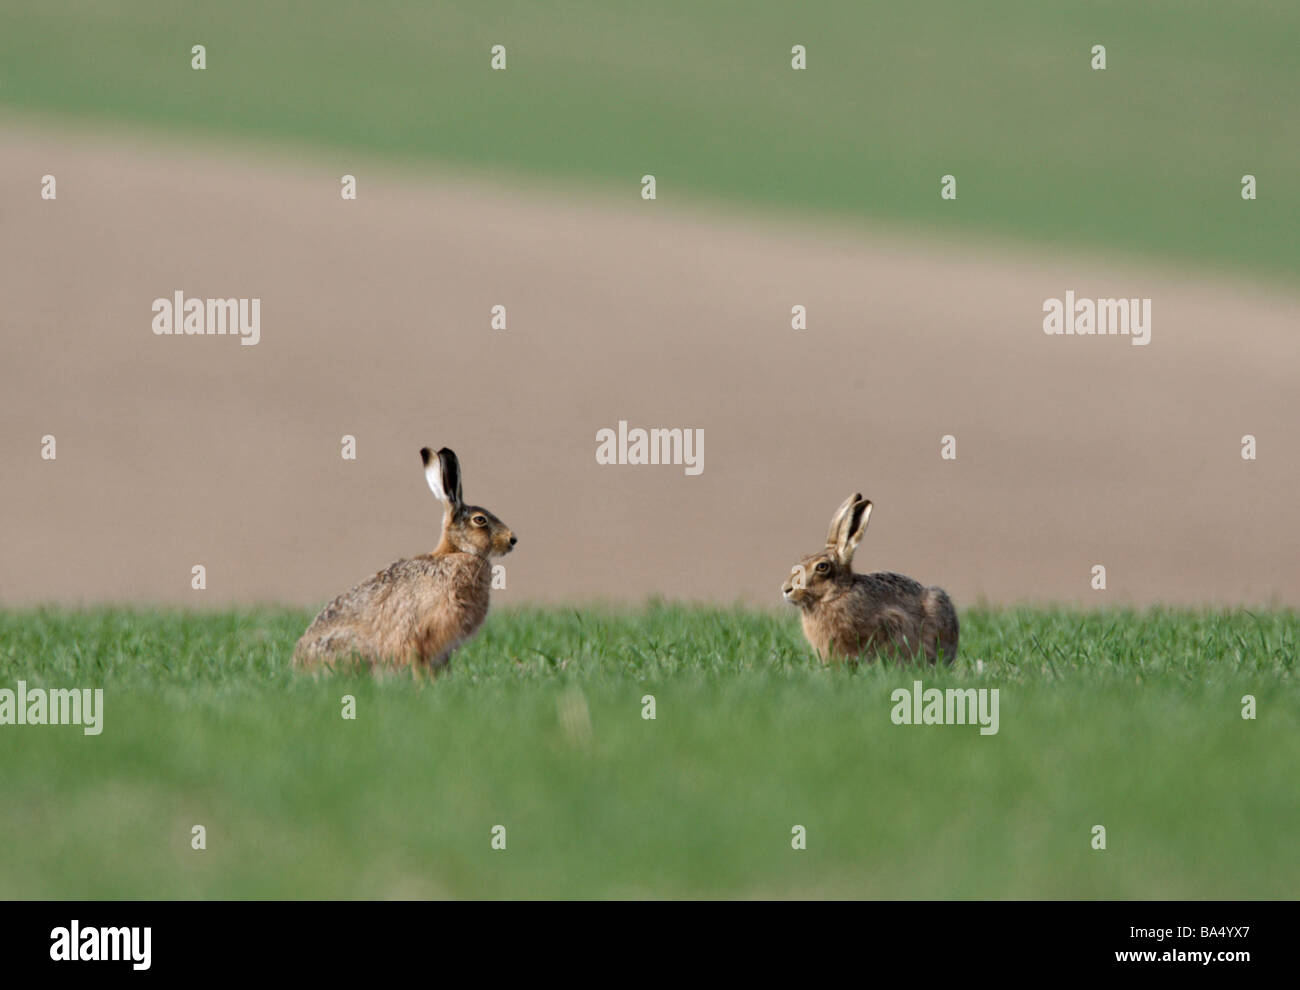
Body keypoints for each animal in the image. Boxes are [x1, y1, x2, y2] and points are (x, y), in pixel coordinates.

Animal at [293, 446, 517, 674]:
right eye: (480, 520)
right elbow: (416, 658)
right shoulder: (420, 632)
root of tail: (298, 662)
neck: (456, 552)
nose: (512, 540)